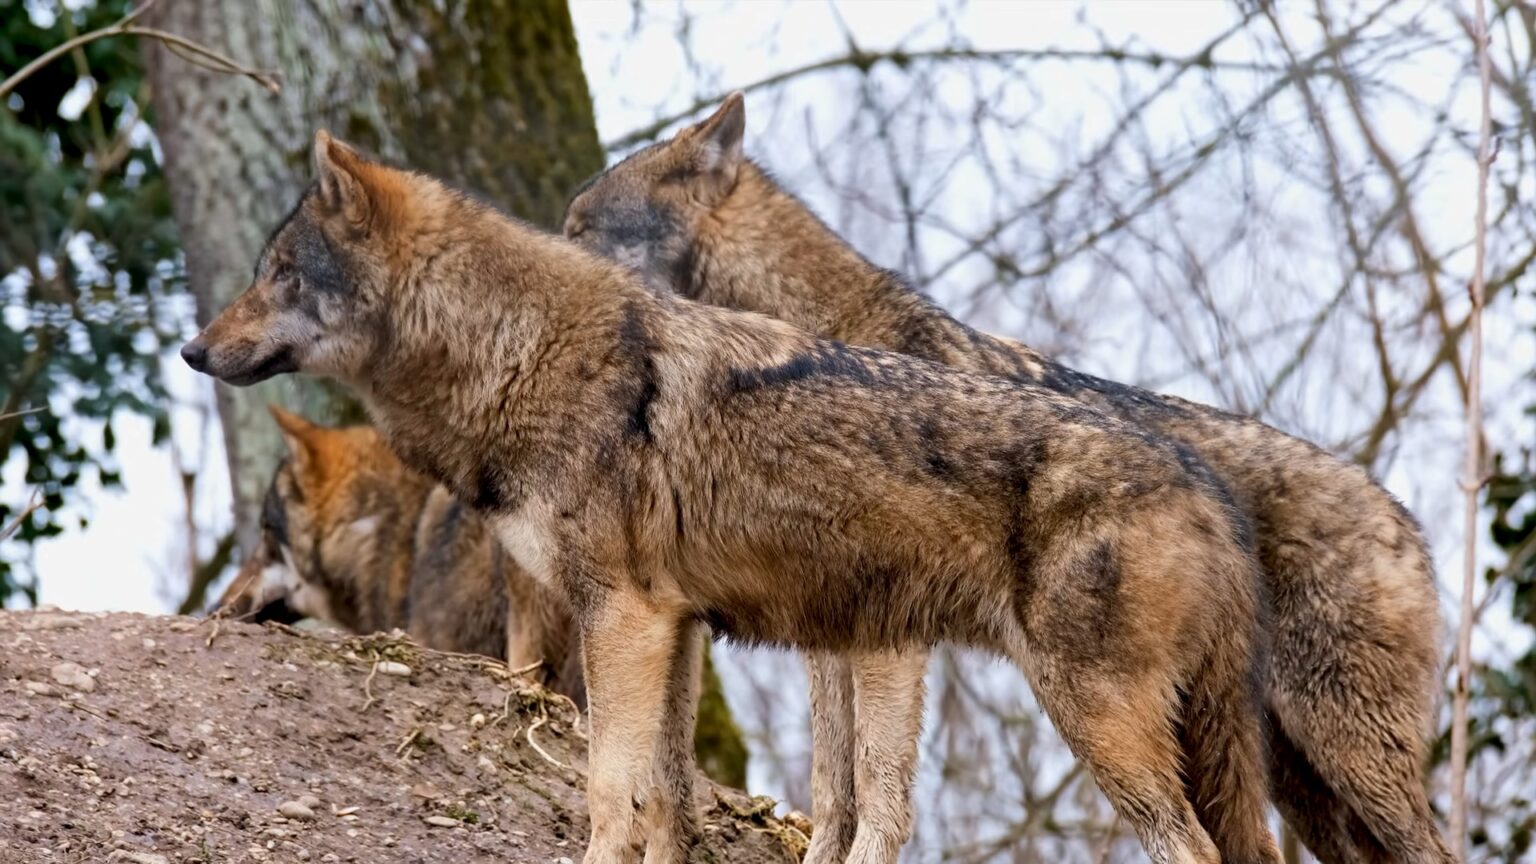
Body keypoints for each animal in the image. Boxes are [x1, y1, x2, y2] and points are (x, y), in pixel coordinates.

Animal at [181, 131, 1281, 864]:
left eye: (279, 274)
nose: (191, 350)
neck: (515, 352)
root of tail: (1209, 486)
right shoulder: (673, 629)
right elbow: (665, 798)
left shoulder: (621, 618)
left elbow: (609, 790)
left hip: (1090, 717)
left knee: (1186, 846)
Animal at [563, 93, 1452, 864]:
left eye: (581, 229)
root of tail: (1406, 517)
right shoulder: (832, 630)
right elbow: (832, 783)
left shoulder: (886, 632)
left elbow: (868, 784)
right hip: (1288, 775)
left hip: (1326, 757)